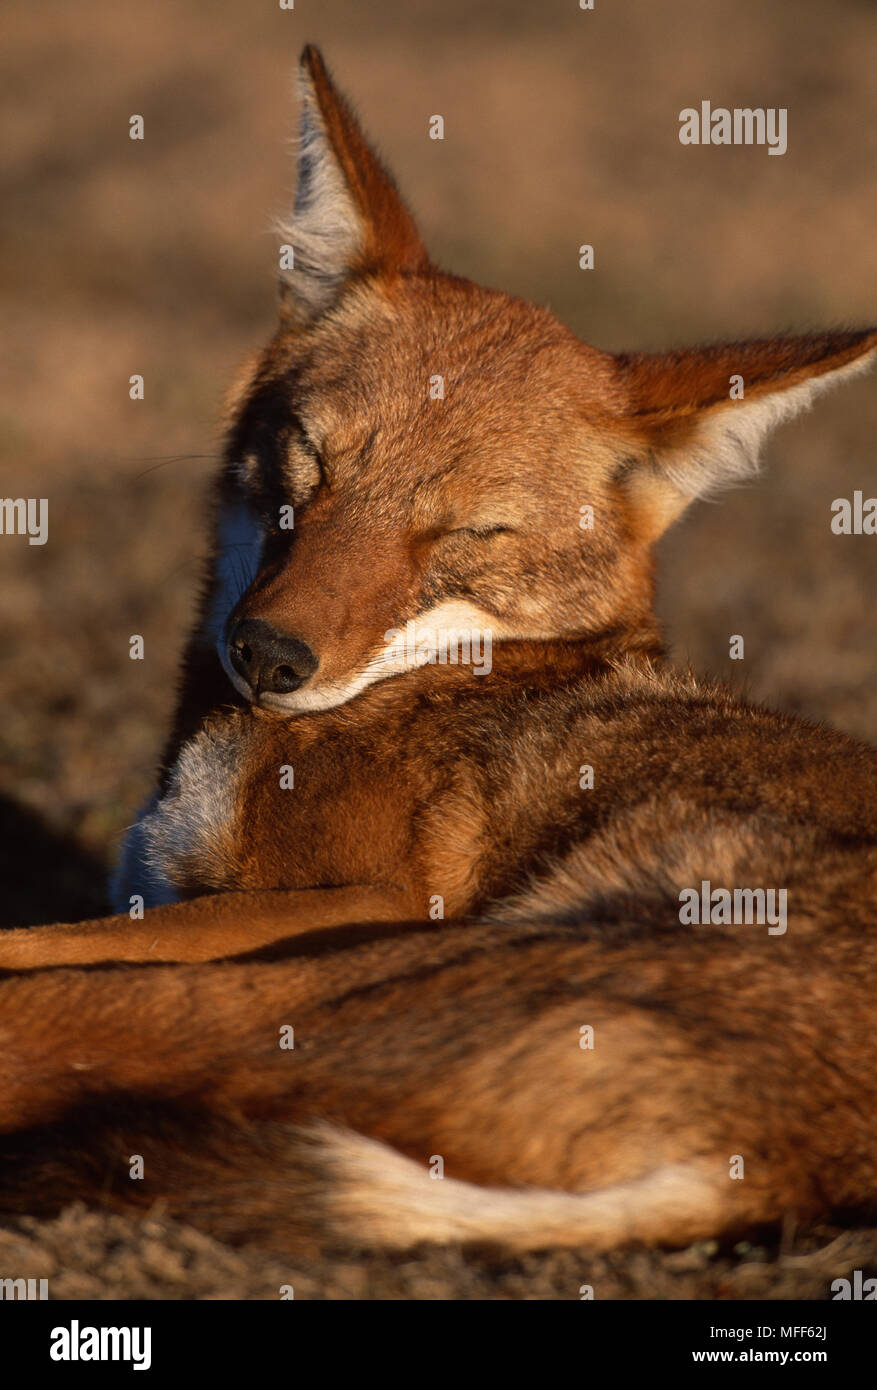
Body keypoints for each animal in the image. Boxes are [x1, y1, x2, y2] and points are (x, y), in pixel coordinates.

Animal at [0, 46, 875, 1256]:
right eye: (310, 465)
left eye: (463, 535)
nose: (268, 654)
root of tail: (785, 1166)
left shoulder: (358, 895)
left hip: (366, 968)